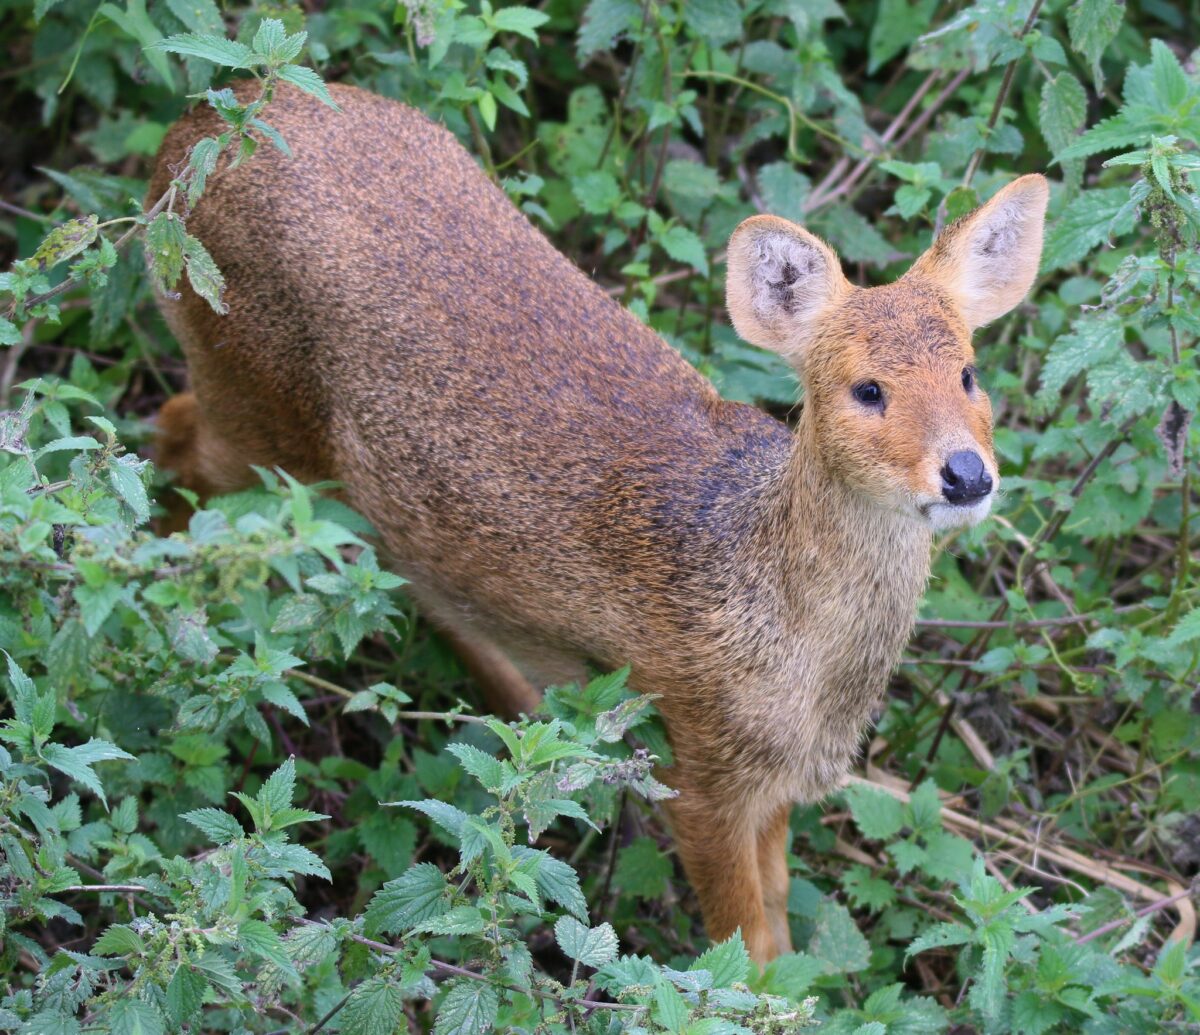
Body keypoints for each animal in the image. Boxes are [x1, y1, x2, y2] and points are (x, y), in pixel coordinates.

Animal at [150, 81, 1048, 965]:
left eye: (969, 372)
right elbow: (744, 947)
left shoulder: (774, 785)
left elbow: (783, 926)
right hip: (257, 414)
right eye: (867, 389)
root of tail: (187, 136)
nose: (967, 473)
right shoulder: (703, 769)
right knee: (174, 434)